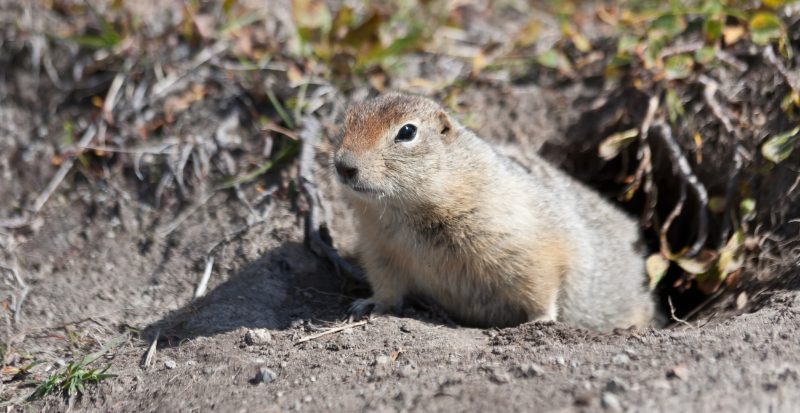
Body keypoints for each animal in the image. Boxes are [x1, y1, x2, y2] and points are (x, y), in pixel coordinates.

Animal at [332, 93, 655, 331]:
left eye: (407, 131)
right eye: (346, 121)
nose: (343, 166)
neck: (404, 213)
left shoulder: (524, 243)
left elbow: (540, 285)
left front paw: (540, 321)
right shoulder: (379, 248)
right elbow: (386, 285)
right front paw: (371, 304)